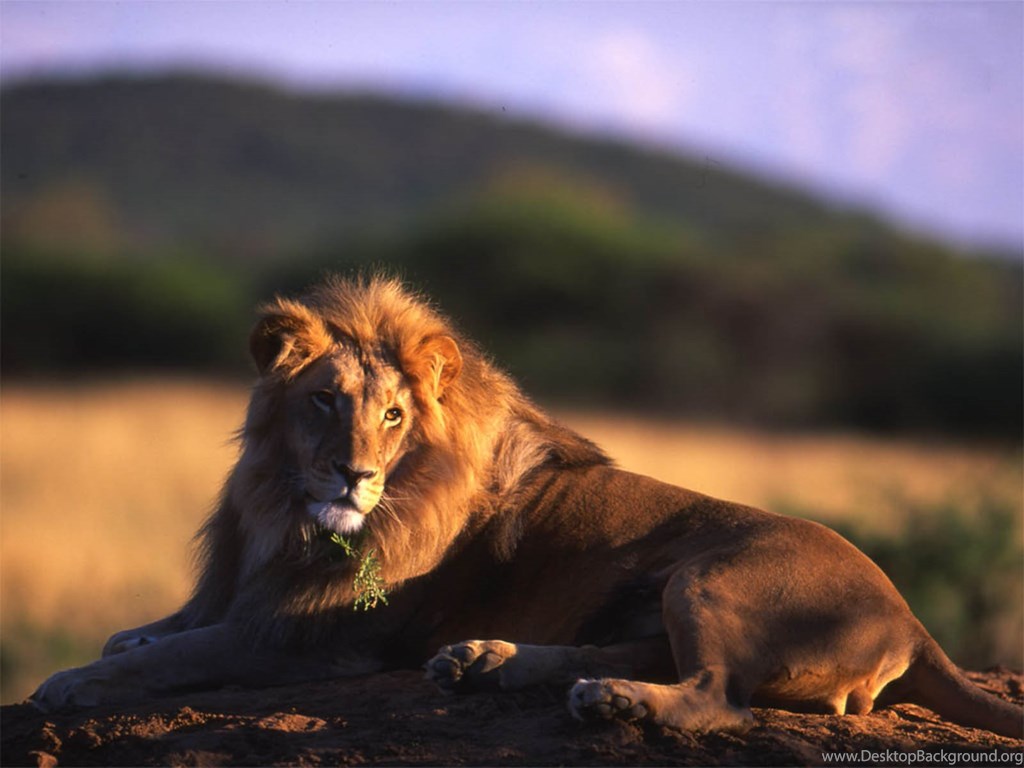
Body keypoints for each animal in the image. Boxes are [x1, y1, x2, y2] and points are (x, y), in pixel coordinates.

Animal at [31, 275, 1023, 739]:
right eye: (323, 400)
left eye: (392, 416)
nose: (353, 475)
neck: (284, 510)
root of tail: (911, 618)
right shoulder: (243, 592)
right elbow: (153, 634)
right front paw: (117, 647)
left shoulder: (309, 640)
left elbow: (179, 654)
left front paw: (67, 682)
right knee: (647, 657)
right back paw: (488, 664)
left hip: (715, 572)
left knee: (720, 697)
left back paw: (611, 703)